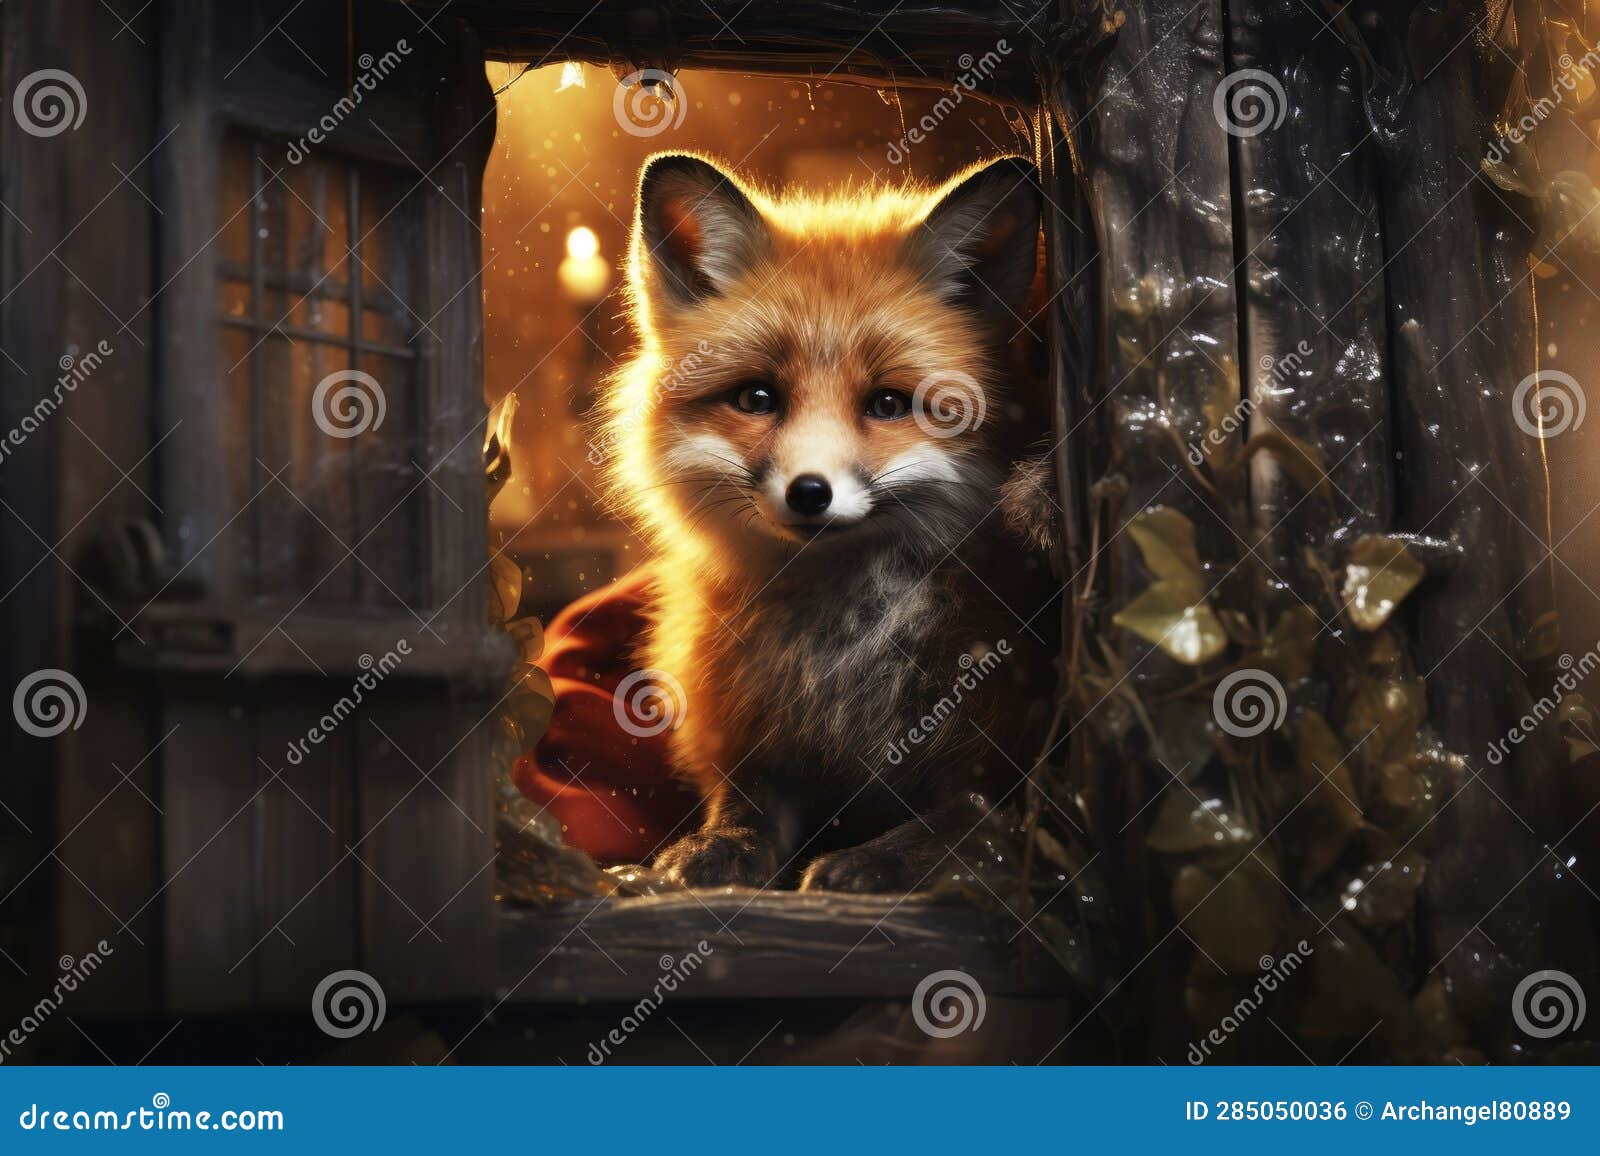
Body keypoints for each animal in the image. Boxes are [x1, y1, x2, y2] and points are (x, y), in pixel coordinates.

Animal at [599, 151, 1059, 891]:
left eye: (889, 404)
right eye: (757, 397)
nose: (809, 492)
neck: (844, 643)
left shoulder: (1005, 746)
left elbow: (973, 815)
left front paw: (880, 861)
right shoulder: (761, 743)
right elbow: (745, 807)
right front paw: (713, 848)